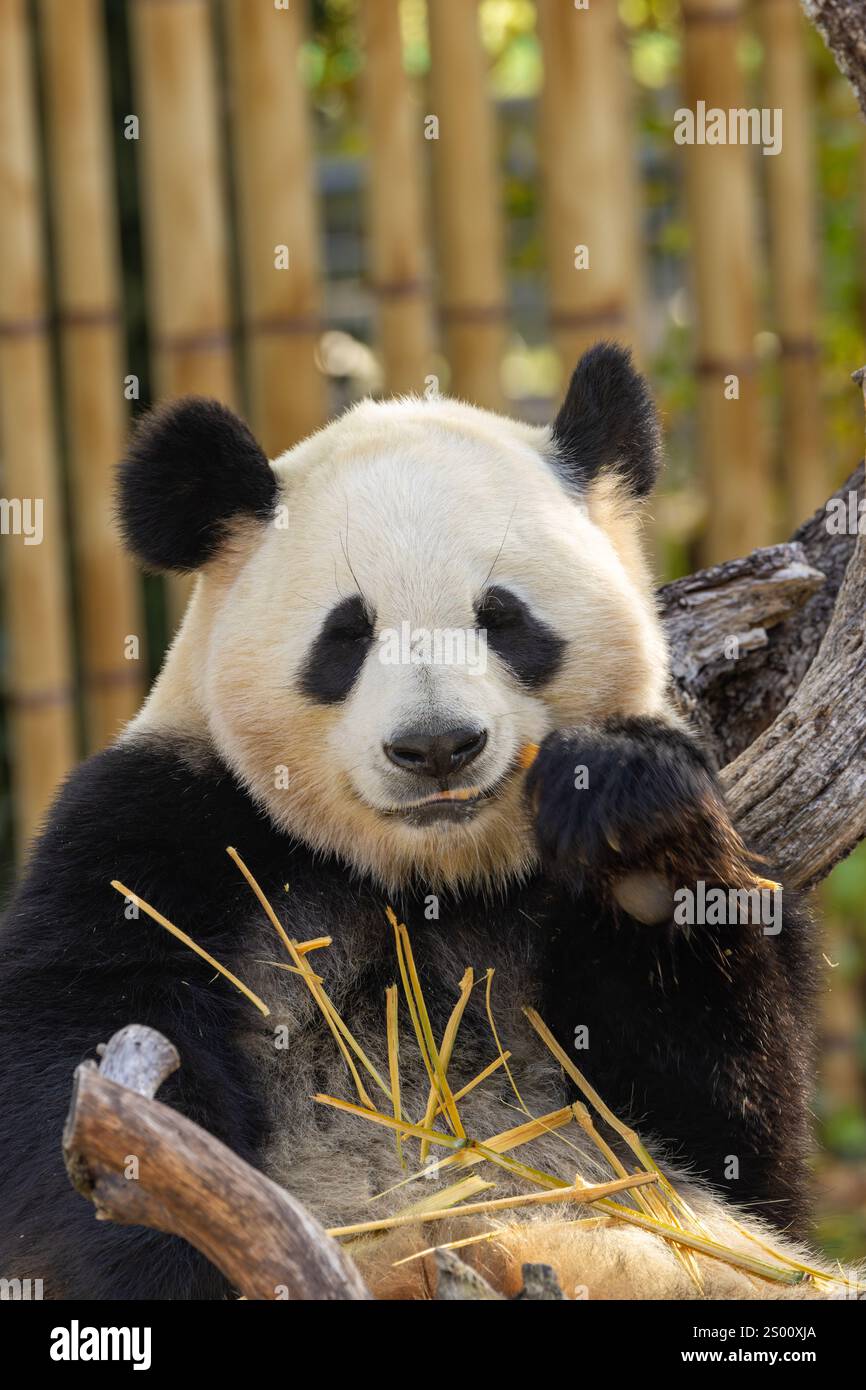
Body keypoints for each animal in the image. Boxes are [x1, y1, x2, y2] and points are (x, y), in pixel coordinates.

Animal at [0, 344, 830, 1300]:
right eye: (348, 634)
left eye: (503, 617)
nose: (437, 747)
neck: (426, 874)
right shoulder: (165, 828)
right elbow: (79, 1054)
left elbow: (735, 1144)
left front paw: (630, 827)